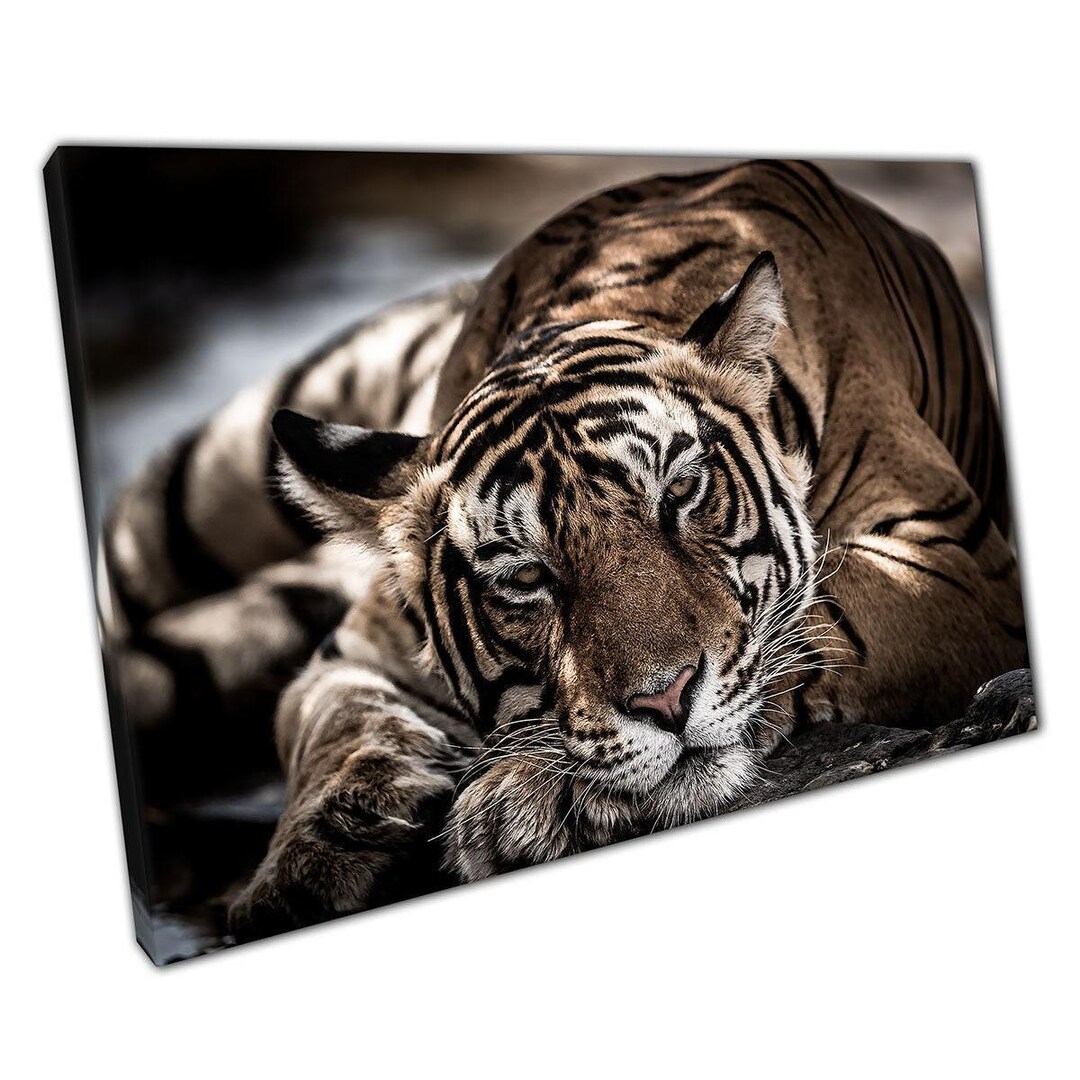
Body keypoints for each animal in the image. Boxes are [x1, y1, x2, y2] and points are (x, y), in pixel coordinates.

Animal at [100, 159, 1028, 940]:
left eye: (681, 493)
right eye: (526, 576)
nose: (666, 700)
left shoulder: (954, 557)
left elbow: (820, 625)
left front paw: (528, 797)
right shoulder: (356, 651)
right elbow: (339, 727)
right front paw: (307, 863)